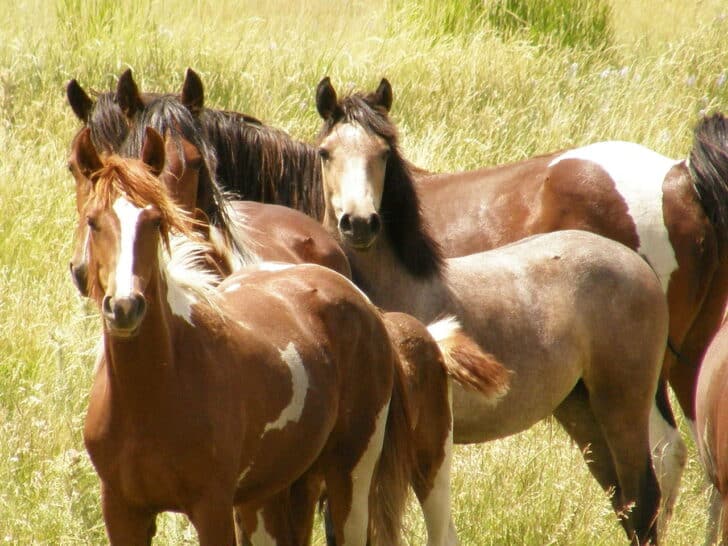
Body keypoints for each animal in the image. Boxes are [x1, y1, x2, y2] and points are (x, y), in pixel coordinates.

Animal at [72, 129, 510, 545]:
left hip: (352, 472)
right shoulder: (123, 512)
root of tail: (366, 306)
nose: (125, 306)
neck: (153, 392)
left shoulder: (212, 506)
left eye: (155, 221)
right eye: (93, 221)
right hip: (276, 491)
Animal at [313, 78, 676, 545]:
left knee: (644, 498)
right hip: (582, 411)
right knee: (625, 503)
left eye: (384, 154)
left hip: (622, 406)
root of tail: (638, 265)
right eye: (326, 153)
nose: (359, 223)